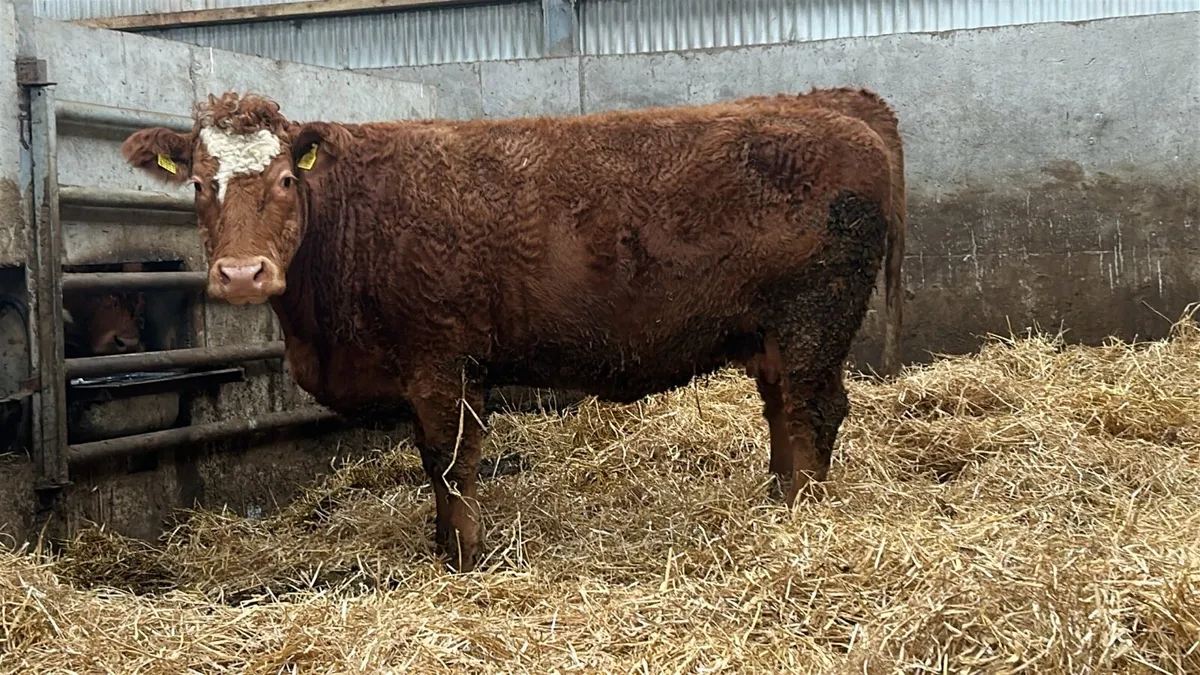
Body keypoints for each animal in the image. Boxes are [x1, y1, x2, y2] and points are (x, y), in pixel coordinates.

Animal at [121, 89, 903, 572]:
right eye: (199, 185)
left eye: (286, 179)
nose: (242, 274)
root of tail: (833, 104)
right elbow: (433, 462)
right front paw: (443, 544)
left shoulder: (440, 359)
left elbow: (449, 460)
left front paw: (464, 558)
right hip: (774, 335)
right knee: (784, 411)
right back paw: (777, 502)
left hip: (815, 319)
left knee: (815, 411)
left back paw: (804, 515)